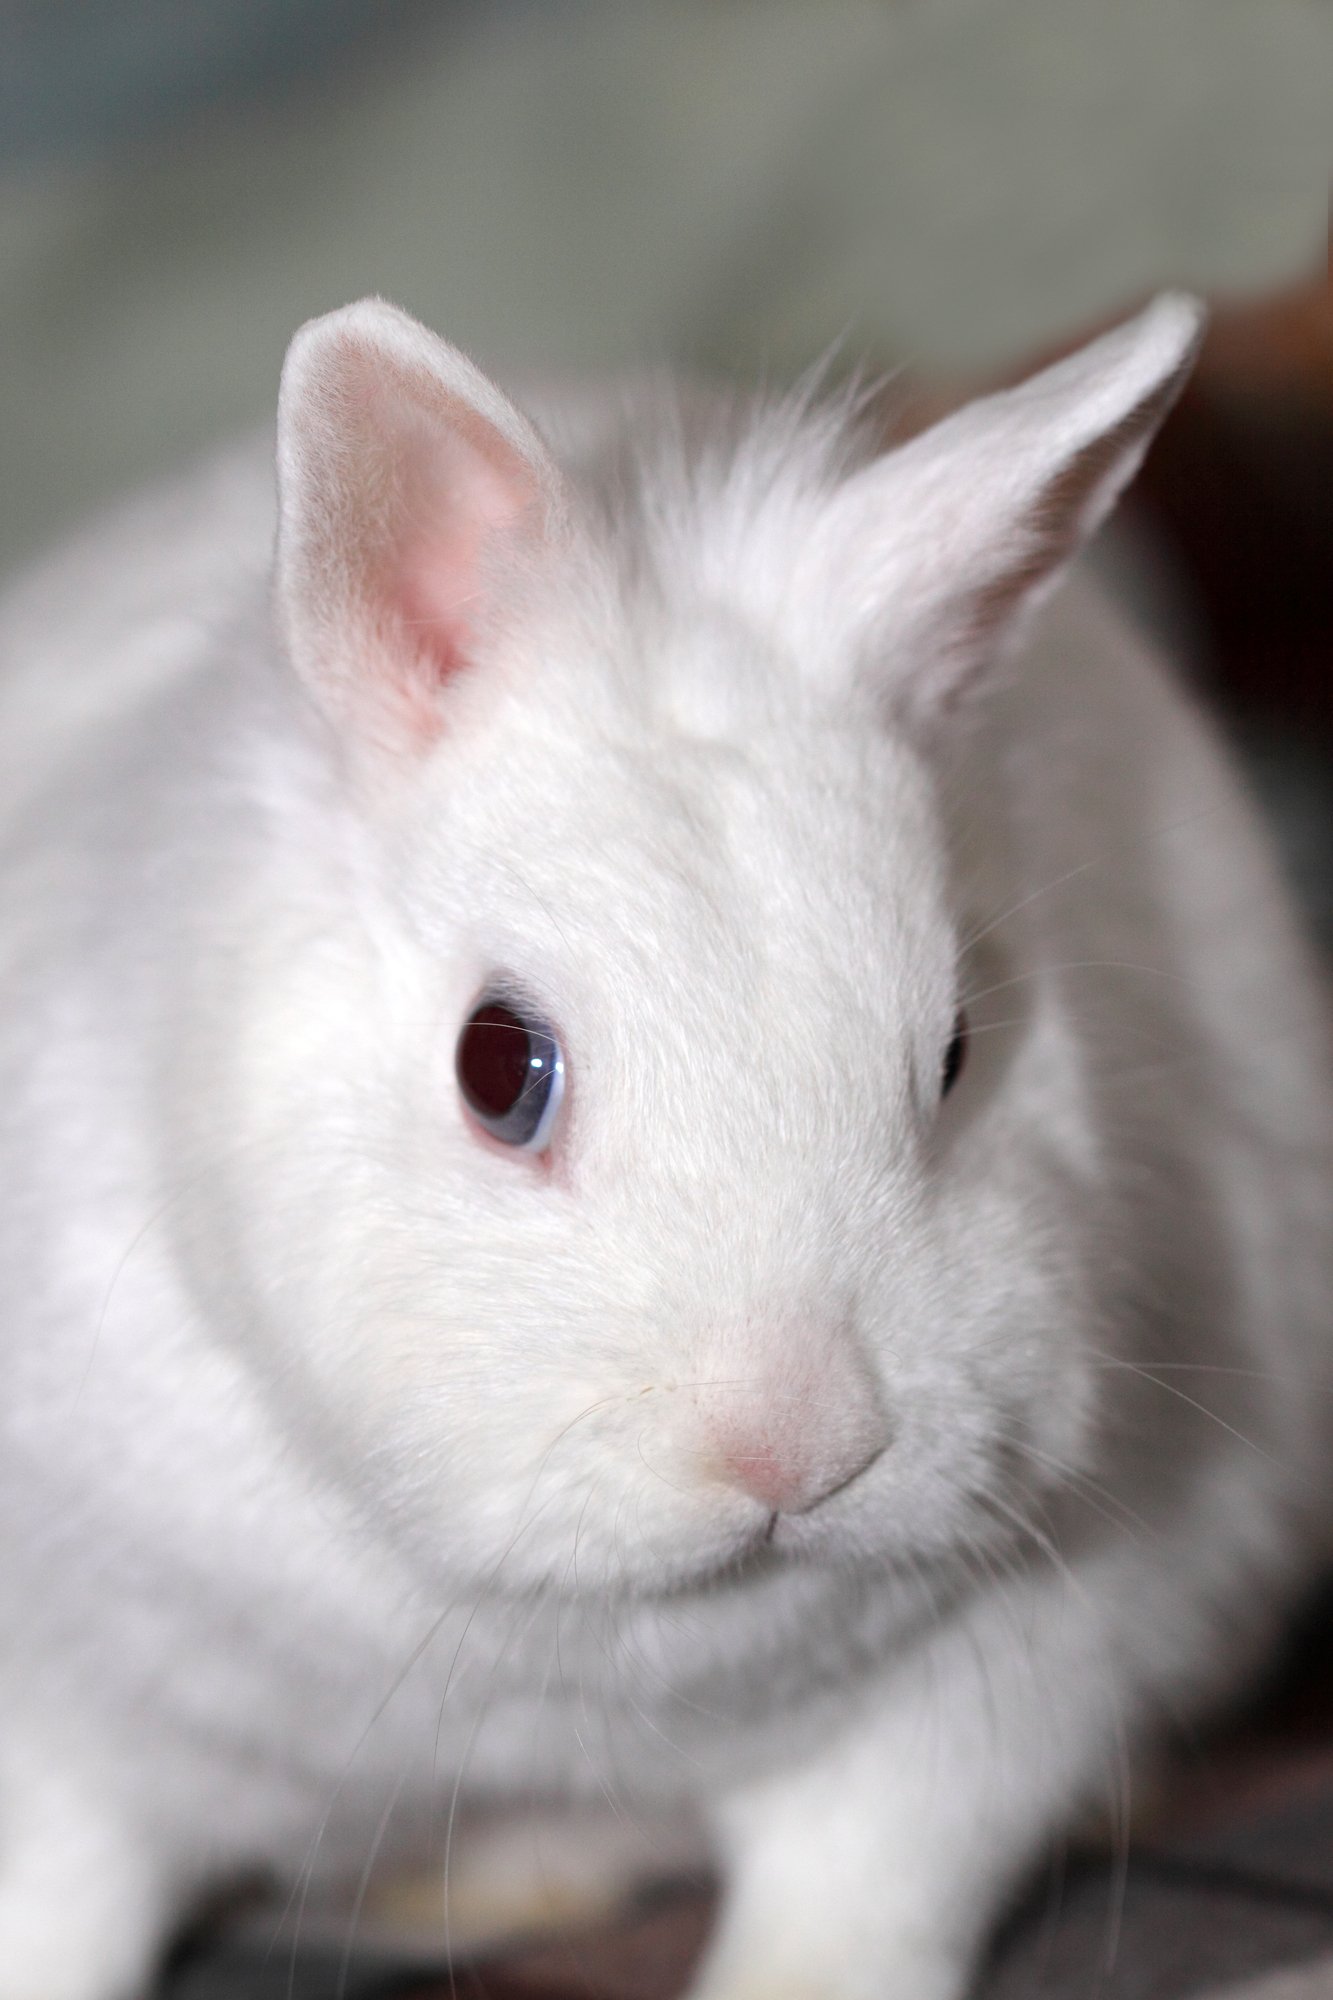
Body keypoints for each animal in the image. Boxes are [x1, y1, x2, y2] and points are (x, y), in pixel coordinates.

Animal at [1, 289, 1330, 2000]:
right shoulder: (64, 1735)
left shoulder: (1004, 1693)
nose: (800, 1449)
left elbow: (851, 1911)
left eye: (961, 1046)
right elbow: (54, 1902)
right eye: (497, 1067)